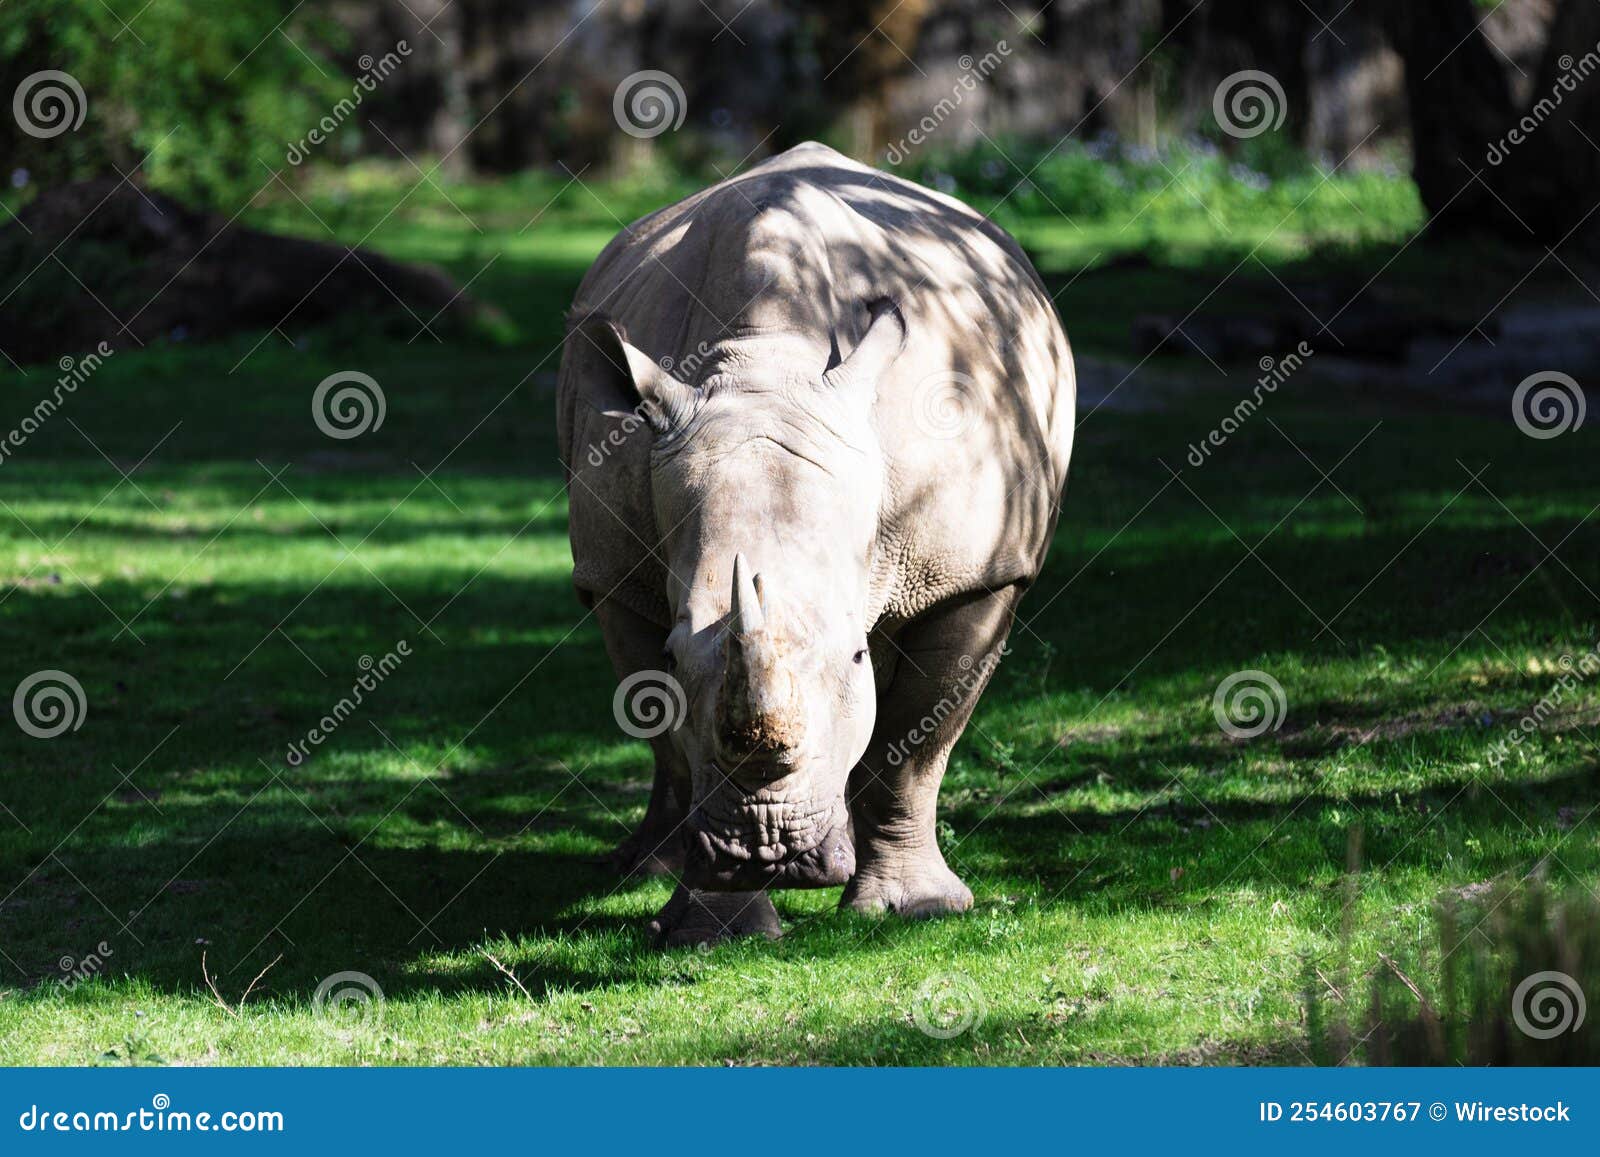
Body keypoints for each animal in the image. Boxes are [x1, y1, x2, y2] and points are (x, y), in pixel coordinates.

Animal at [557, 142, 1074, 946]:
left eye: (853, 654)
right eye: (672, 655)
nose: (766, 847)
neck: (766, 363)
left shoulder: (975, 573)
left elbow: (915, 744)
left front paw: (917, 910)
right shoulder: (616, 574)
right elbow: (668, 732)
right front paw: (714, 930)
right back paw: (641, 870)